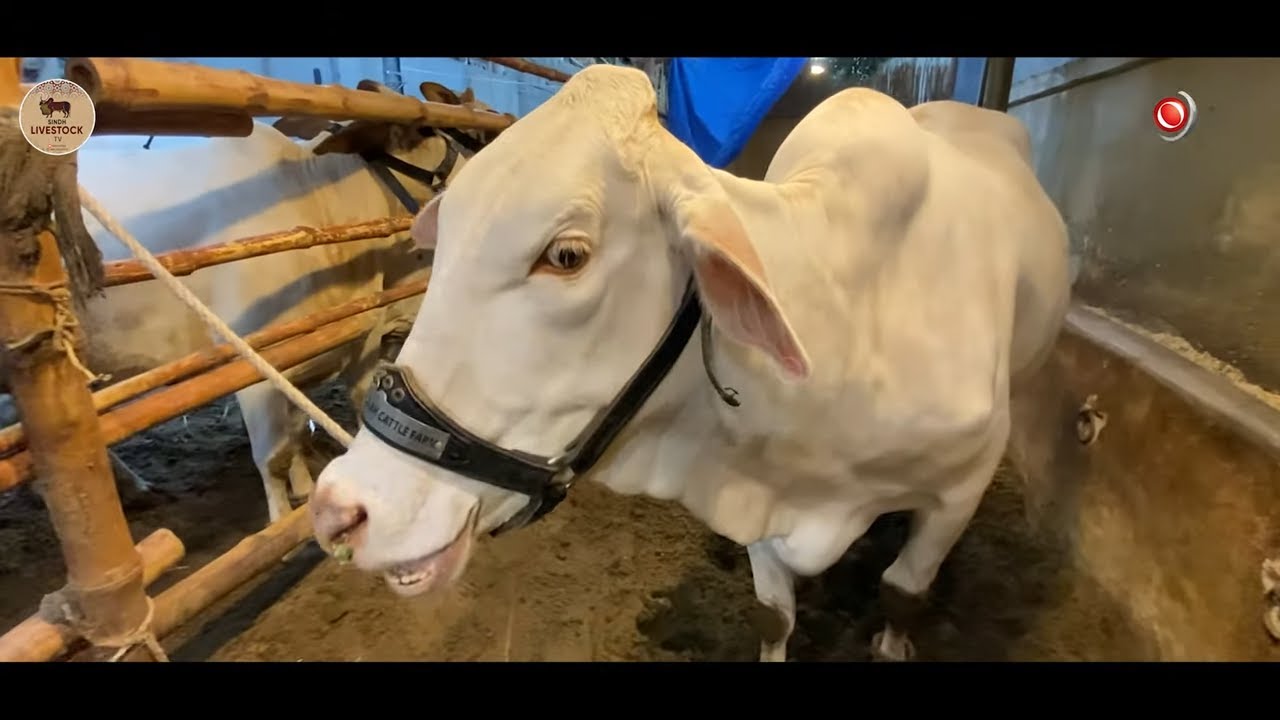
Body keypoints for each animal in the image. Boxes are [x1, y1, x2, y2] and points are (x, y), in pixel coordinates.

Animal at [0, 79, 505, 523]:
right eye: (440, 131)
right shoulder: (255, 363)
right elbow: (275, 454)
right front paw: (281, 520)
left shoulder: (346, 340)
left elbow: (311, 426)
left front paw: (311, 487)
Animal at [305, 64, 1071, 662]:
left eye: (566, 255)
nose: (340, 510)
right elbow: (774, 614)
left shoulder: (959, 490)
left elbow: (902, 593)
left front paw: (894, 640)